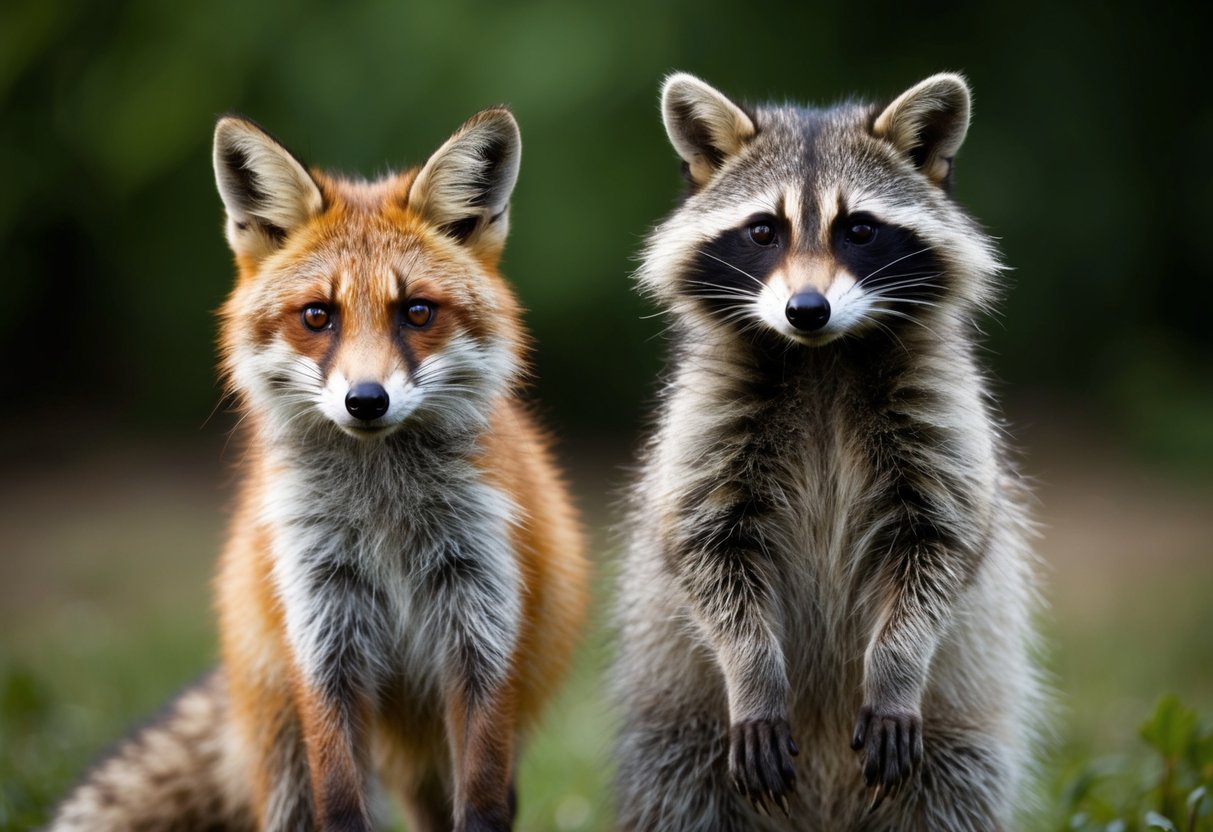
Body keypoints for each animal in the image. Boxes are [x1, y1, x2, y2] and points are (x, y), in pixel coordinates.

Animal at [49, 108, 588, 831]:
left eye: (416, 311)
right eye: (317, 316)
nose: (366, 400)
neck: (386, 518)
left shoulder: (480, 629)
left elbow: (480, 802)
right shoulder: (323, 632)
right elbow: (340, 800)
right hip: (287, 754)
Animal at [611, 73, 1045, 830]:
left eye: (859, 229)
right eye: (763, 230)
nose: (806, 309)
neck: (822, 358)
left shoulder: (939, 413)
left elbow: (942, 545)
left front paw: (896, 666)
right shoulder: (708, 418)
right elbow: (705, 552)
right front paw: (753, 674)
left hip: (959, 741)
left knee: (956, 790)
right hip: (676, 733)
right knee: (678, 790)